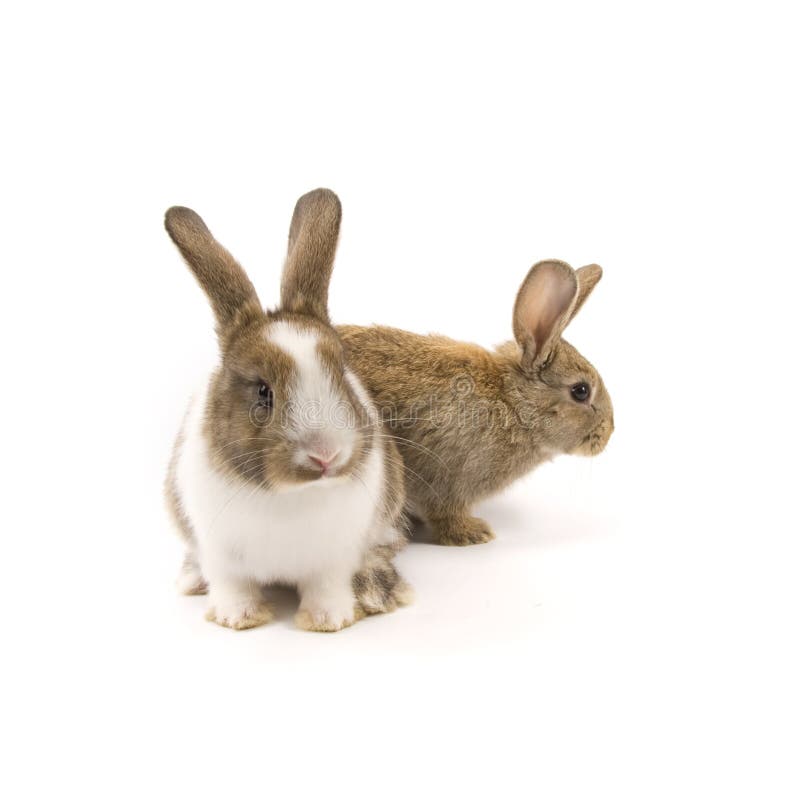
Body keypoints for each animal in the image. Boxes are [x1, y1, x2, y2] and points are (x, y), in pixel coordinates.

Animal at [163, 189, 411, 631]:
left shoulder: (334, 558)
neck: (291, 495)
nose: (326, 456)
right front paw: (238, 618)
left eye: (342, 371)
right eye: (264, 392)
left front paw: (329, 620)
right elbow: (232, 585)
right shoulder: (221, 554)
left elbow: (326, 587)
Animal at [339, 259, 613, 546]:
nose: (608, 434)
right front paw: (473, 533)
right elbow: (446, 513)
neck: (513, 404)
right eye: (581, 391)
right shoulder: (449, 481)